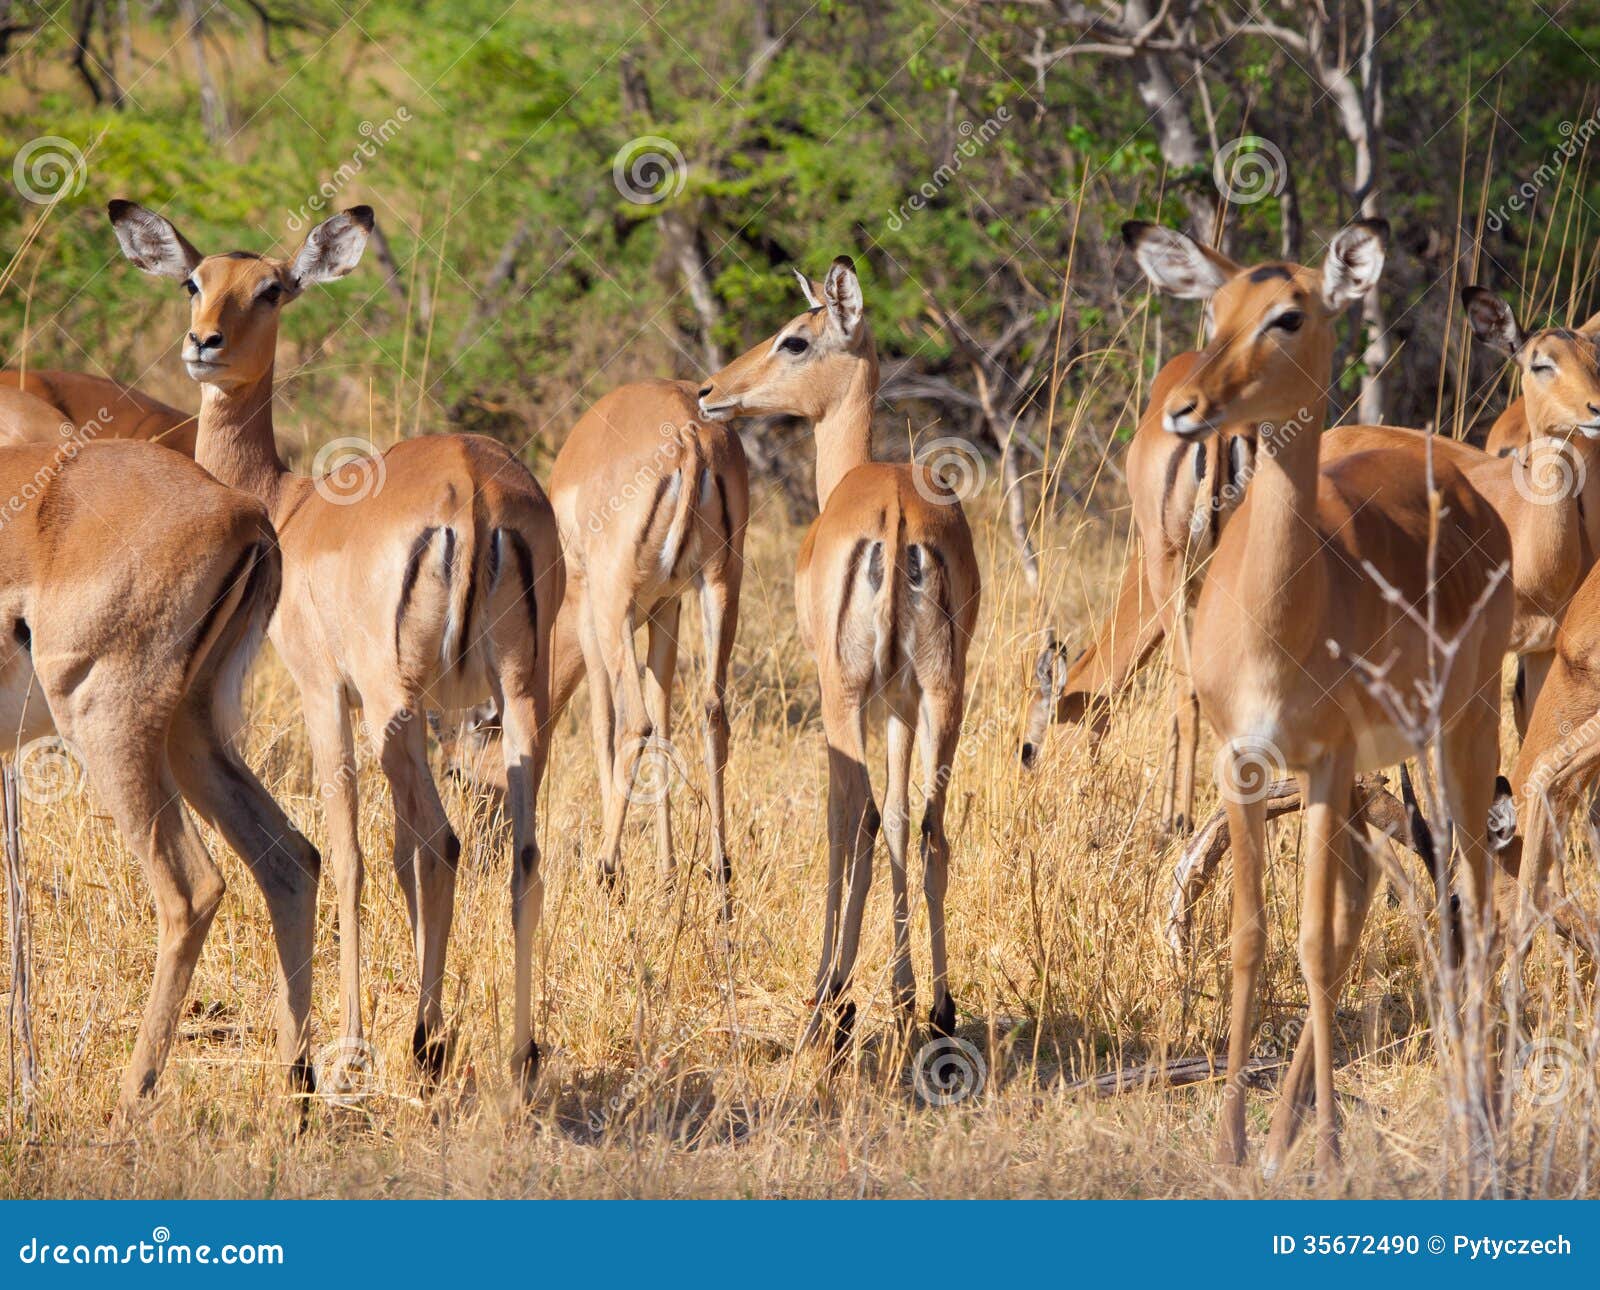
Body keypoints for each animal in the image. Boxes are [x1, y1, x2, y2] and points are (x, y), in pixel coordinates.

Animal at [0, 438, 320, 1116]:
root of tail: (240, 509)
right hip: (188, 734)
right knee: (292, 860)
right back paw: (297, 1093)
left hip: (108, 725)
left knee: (193, 888)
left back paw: (131, 1096)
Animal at [108, 199, 564, 1094]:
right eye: (193, 280)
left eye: (272, 289)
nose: (204, 344)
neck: (289, 505)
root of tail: (475, 491)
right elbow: (396, 853)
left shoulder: (325, 692)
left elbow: (351, 853)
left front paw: (355, 1045)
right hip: (517, 693)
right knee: (519, 853)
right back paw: (517, 1053)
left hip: (394, 700)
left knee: (438, 842)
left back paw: (406, 1044)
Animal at [698, 258, 979, 1041]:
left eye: (795, 338)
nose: (710, 391)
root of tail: (898, 518)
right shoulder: (902, 705)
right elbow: (903, 819)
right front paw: (905, 993)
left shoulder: (851, 696)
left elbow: (847, 819)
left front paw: (840, 987)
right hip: (945, 694)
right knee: (930, 829)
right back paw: (940, 1011)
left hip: (842, 692)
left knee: (852, 819)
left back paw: (833, 997)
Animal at [1126, 219, 1513, 1172]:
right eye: (1215, 308)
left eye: (1289, 315)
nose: (1186, 406)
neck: (1279, 620)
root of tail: (1476, 500)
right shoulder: (1244, 765)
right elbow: (1253, 937)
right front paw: (1235, 1142)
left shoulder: (1328, 760)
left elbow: (1311, 943)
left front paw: (1333, 1147)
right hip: (1377, 775)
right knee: (1365, 911)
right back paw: (1289, 1132)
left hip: (1462, 730)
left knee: (1473, 899)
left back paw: (1479, 1122)